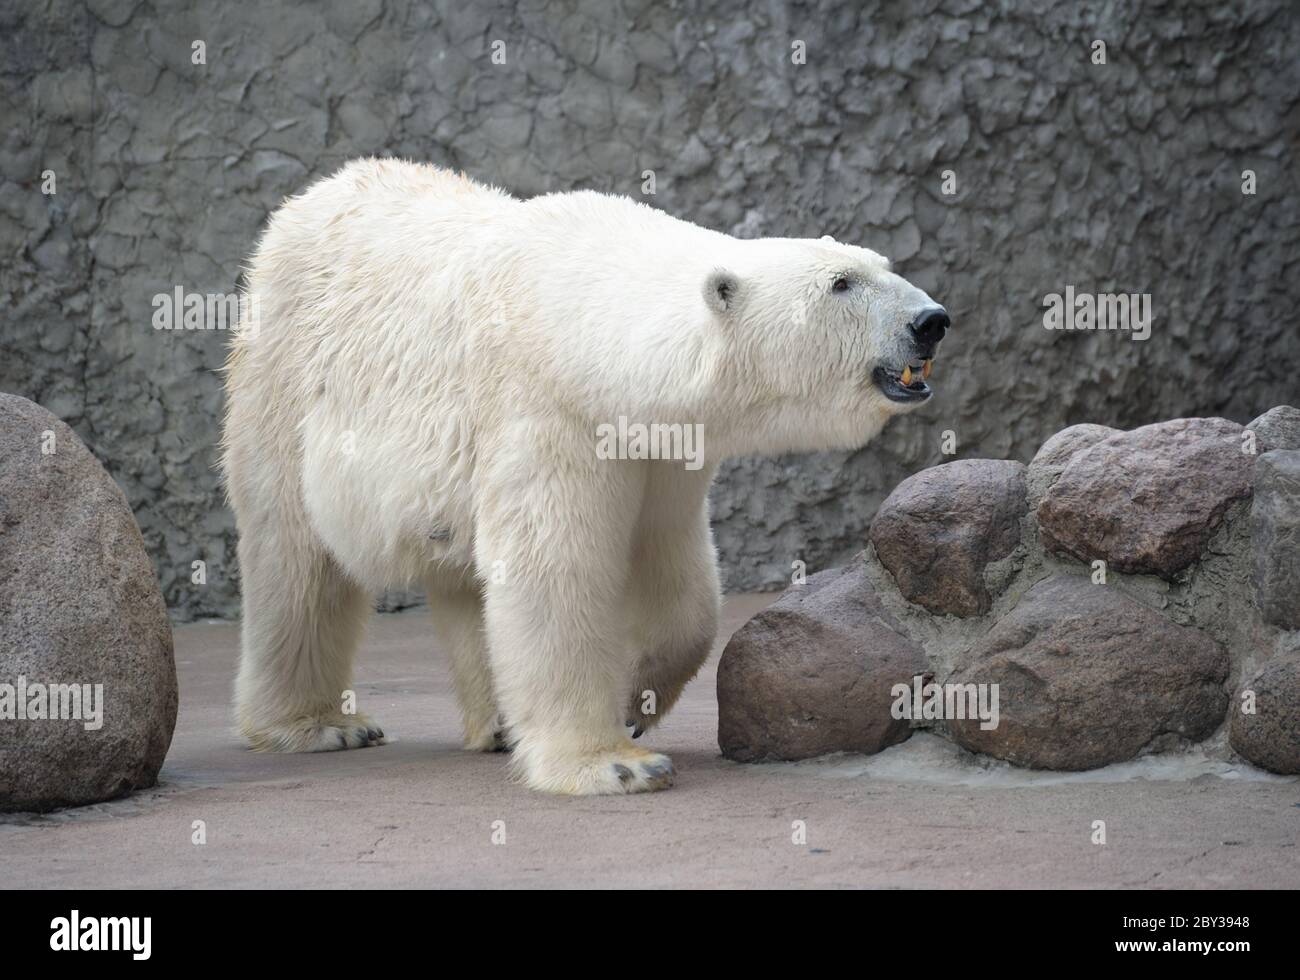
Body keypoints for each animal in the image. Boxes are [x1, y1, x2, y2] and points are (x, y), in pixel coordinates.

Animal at [220, 158, 949, 795]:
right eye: (841, 284)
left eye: (884, 266)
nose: (931, 321)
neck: (587, 329)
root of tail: (306, 200)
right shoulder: (546, 409)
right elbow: (553, 573)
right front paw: (615, 764)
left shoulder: (659, 447)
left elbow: (672, 577)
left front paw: (631, 697)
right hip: (283, 376)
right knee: (294, 557)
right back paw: (318, 725)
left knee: (458, 574)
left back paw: (496, 725)